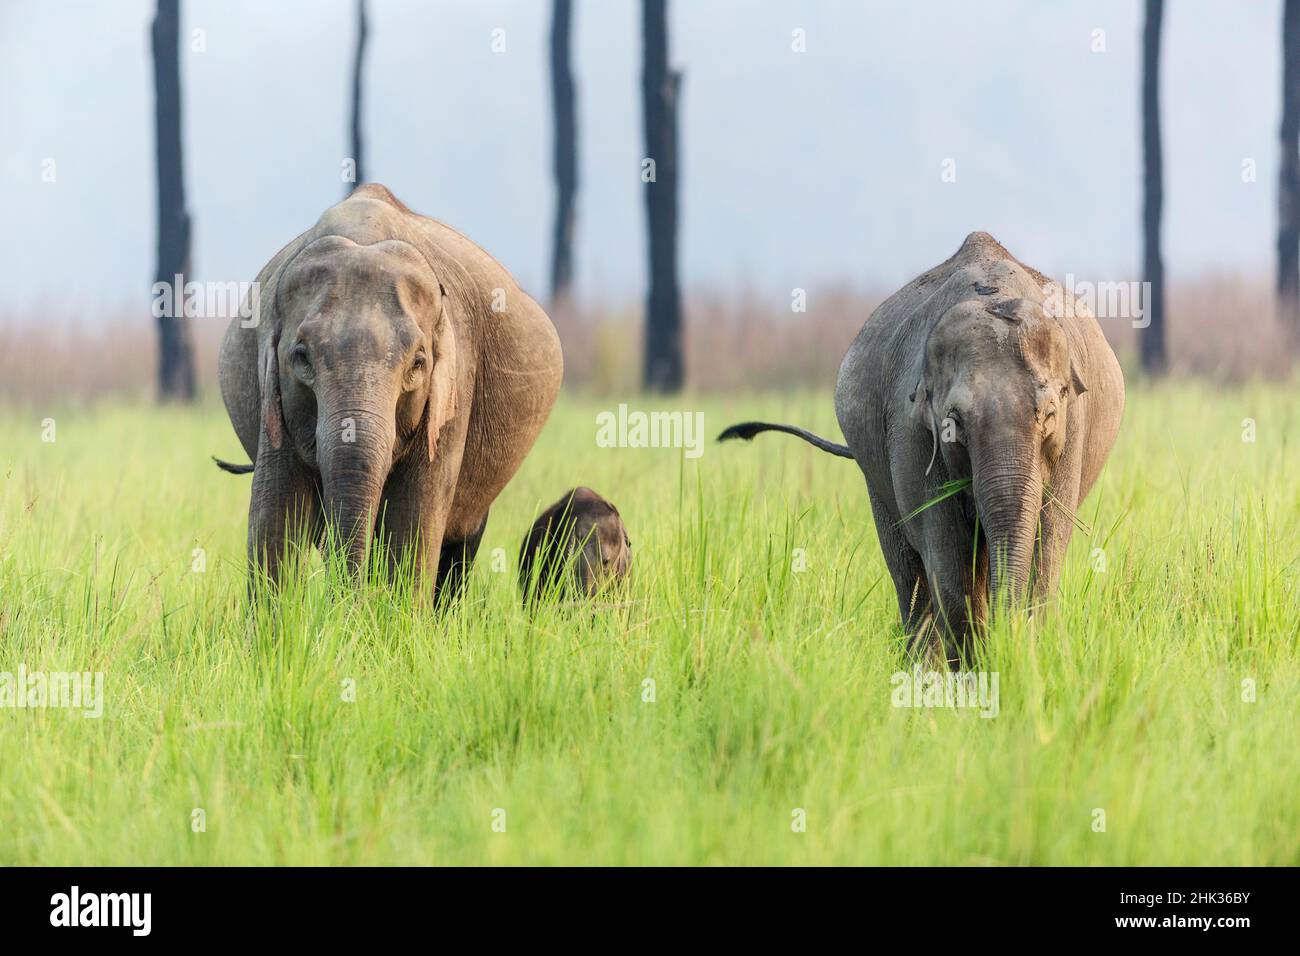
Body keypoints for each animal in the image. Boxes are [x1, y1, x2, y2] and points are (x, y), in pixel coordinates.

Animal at [216, 183, 563, 601]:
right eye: (301, 356)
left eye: (417, 363)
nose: (346, 607)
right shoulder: (274, 392)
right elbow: (277, 509)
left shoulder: (455, 385)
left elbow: (414, 518)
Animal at [719, 232, 1124, 663]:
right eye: (953, 422)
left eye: (1048, 414)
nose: (1005, 643)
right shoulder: (909, 432)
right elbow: (946, 562)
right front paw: (978, 668)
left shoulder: (1073, 433)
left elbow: (1046, 552)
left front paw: (1021, 659)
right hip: (875, 476)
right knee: (908, 572)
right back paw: (919, 663)